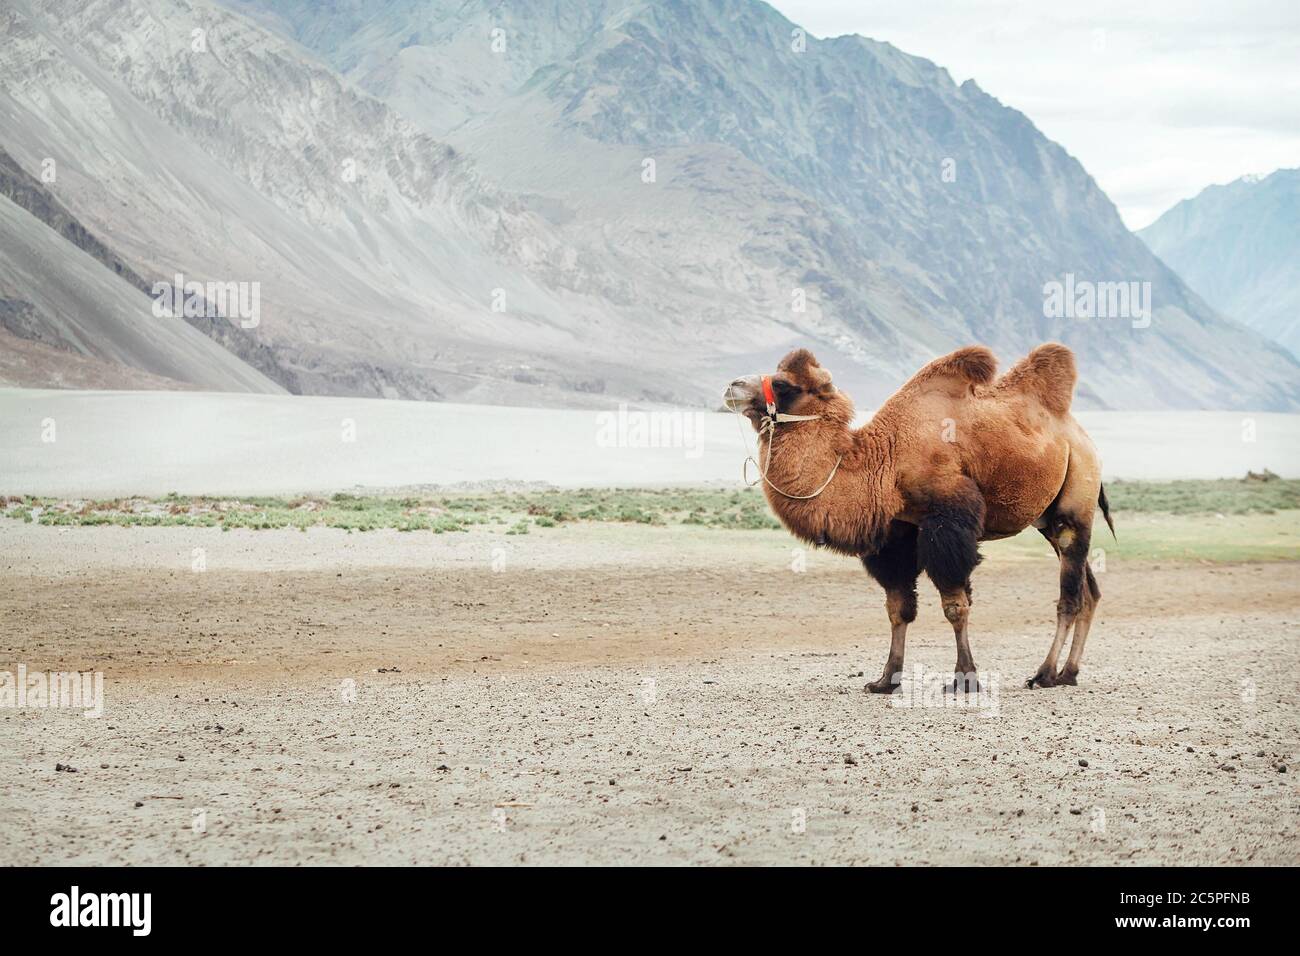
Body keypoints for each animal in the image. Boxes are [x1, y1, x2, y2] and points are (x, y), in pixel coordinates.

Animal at [724, 344, 1113, 692]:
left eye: (783, 384)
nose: (732, 386)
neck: (885, 460)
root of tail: (1082, 437)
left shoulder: (948, 520)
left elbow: (955, 605)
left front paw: (965, 678)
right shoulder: (896, 533)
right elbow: (898, 609)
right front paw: (885, 680)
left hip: (1075, 500)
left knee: (1070, 596)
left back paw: (1045, 674)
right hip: (1047, 518)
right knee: (1089, 591)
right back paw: (1068, 673)